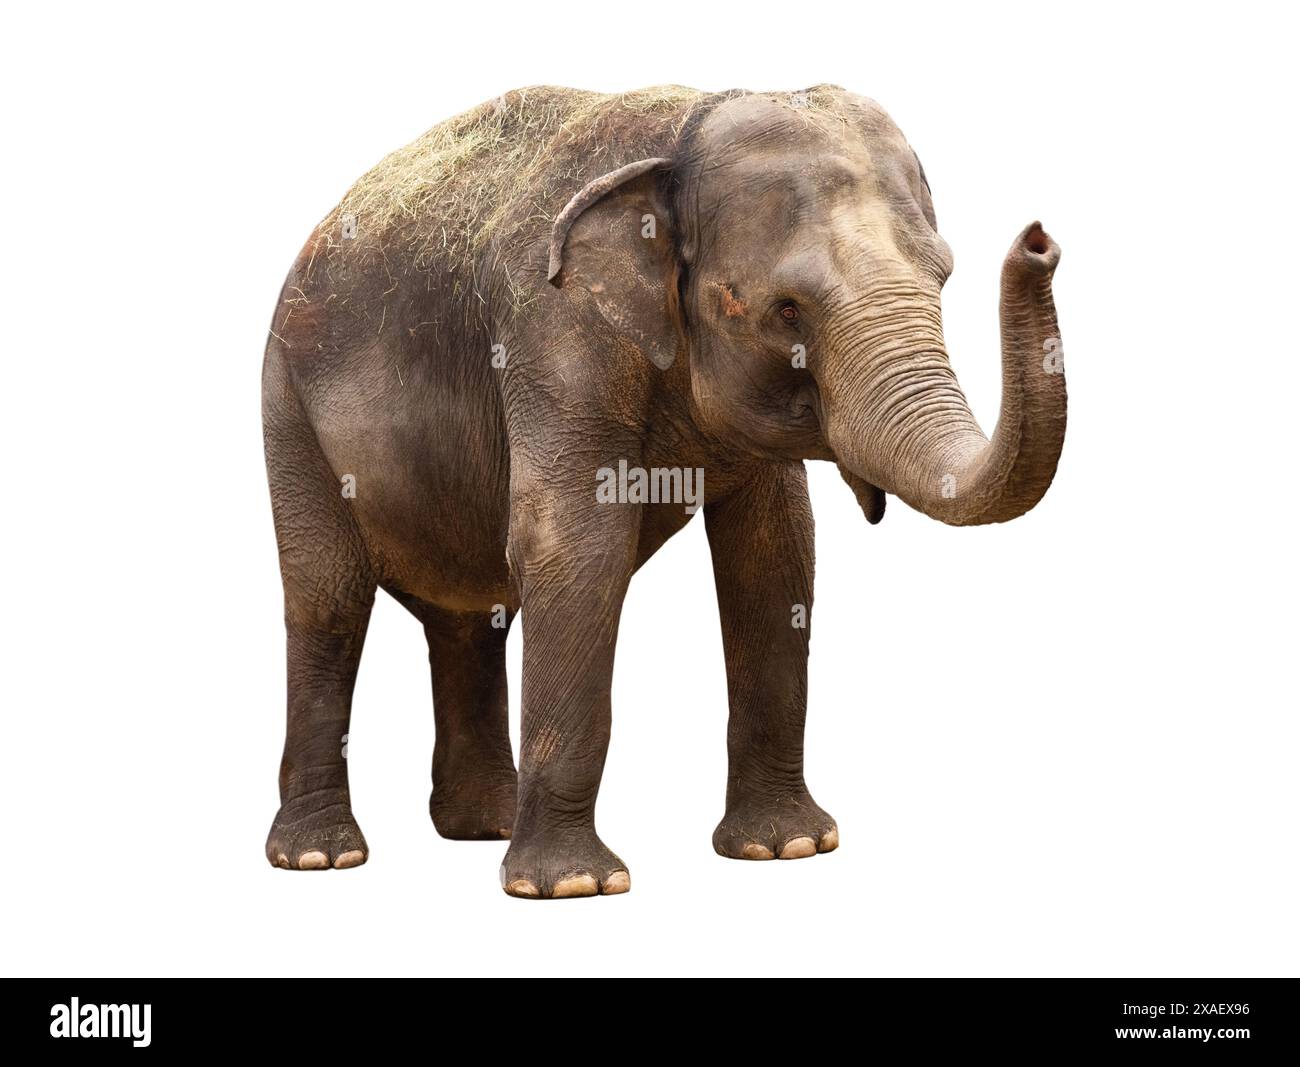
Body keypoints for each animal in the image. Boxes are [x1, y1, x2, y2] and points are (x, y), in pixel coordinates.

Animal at [262, 84, 1067, 898]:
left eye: (942, 278)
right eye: (786, 310)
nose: (1039, 241)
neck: (684, 128)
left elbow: (777, 556)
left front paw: (788, 847)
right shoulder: (553, 333)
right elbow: (575, 548)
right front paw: (573, 887)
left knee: (468, 617)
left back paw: (483, 825)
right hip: (287, 408)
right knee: (328, 598)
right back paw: (322, 857)